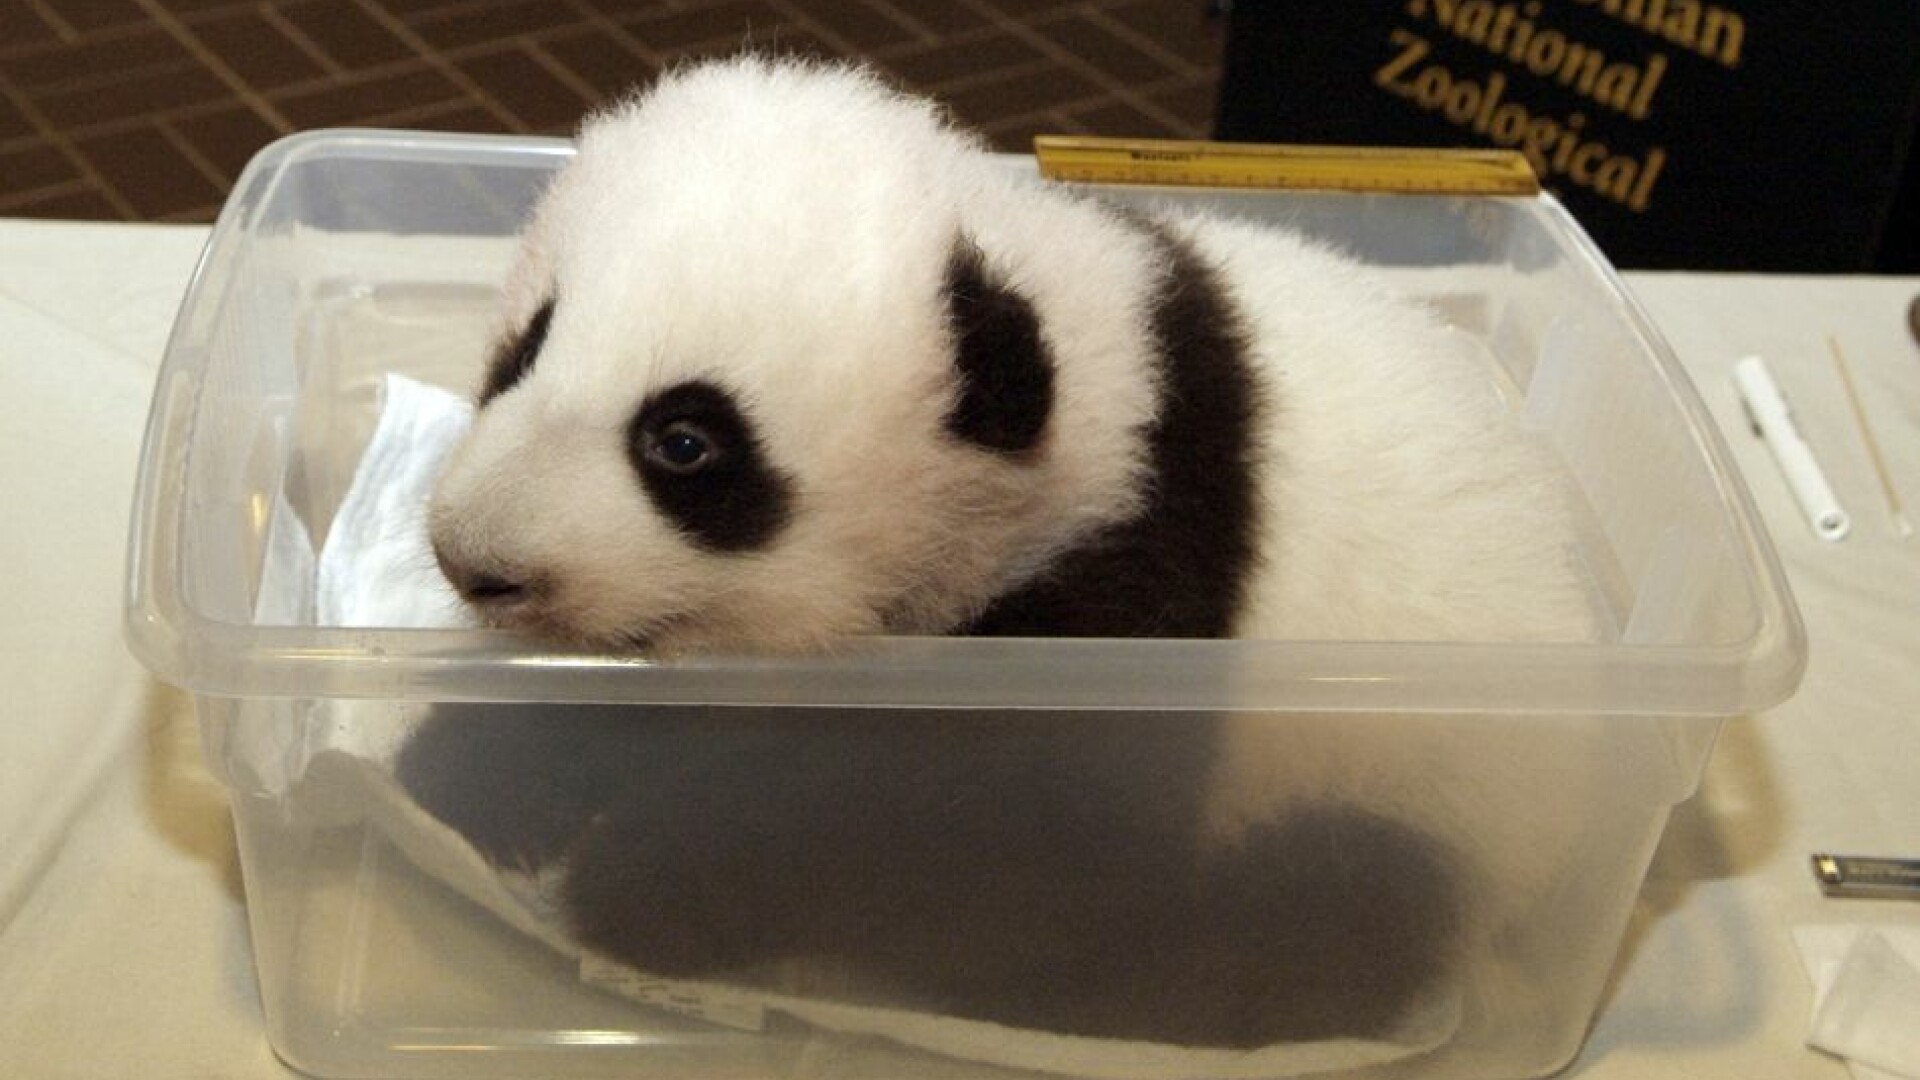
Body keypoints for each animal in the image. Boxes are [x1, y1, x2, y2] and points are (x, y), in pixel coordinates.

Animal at [400, 55, 1604, 1058]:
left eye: (686, 444)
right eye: (522, 350)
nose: (476, 562)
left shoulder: (1131, 596)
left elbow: (998, 860)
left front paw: (641, 890)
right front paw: (469, 776)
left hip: (1416, 780)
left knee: (1320, 909)